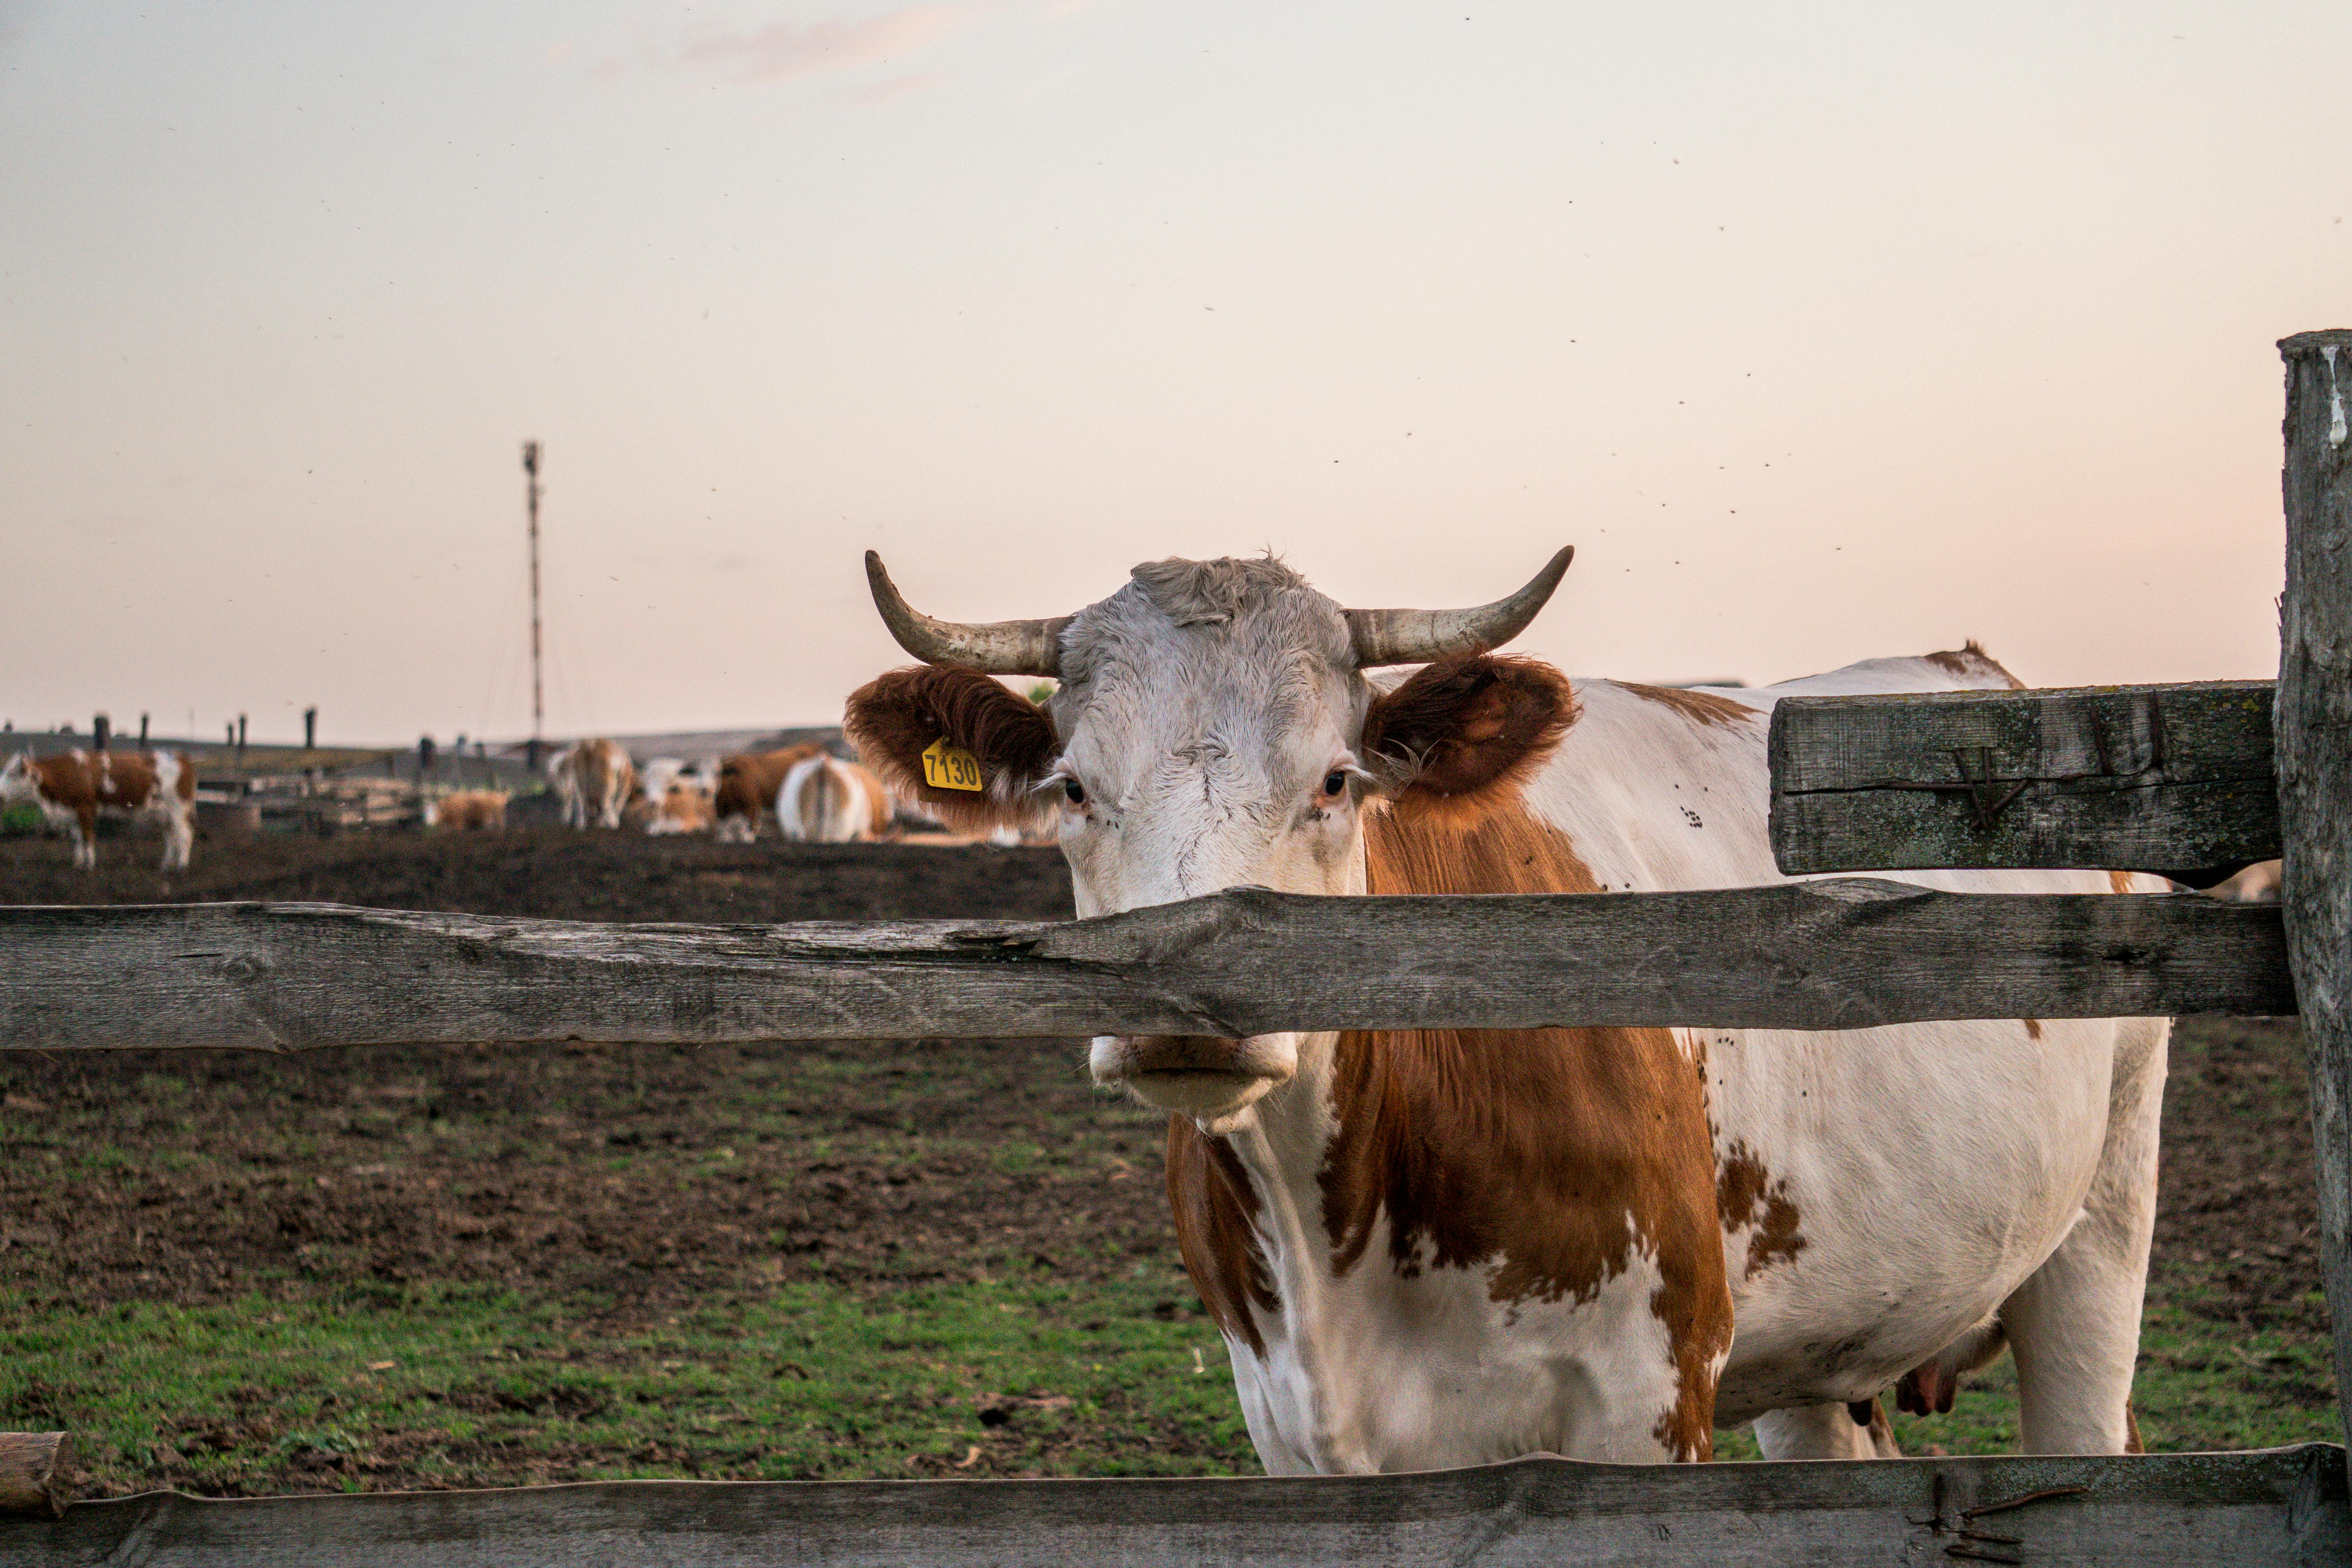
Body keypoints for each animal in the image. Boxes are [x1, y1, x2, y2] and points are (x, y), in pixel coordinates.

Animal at [1, 748, 195, 871]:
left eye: (12, 774)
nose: (0, 794)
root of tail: (180, 757)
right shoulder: (73, 812)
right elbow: (77, 838)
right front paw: (78, 864)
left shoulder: (86, 809)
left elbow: (88, 837)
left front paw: (90, 865)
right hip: (164, 812)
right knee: (171, 836)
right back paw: (166, 865)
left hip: (178, 807)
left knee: (184, 834)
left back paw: (182, 866)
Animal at [844, 548, 2167, 1472]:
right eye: (1072, 787)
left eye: (1336, 781)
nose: (1184, 1012)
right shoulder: (1290, 1428)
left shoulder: (1649, 1398)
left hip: (2100, 1230)